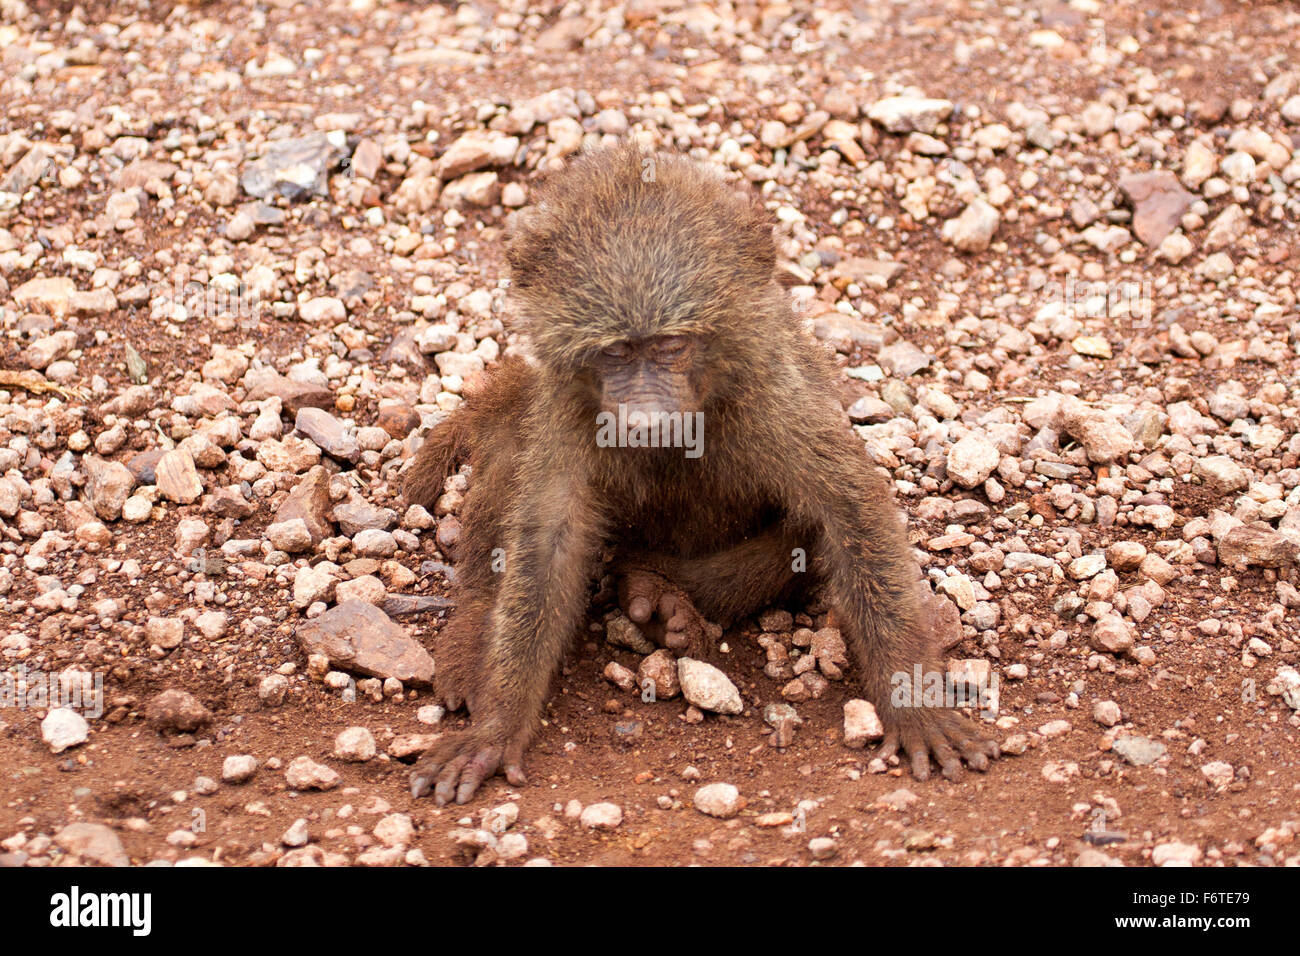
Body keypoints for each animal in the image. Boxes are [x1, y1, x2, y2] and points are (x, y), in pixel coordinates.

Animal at [403, 143, 999, 805]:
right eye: (615, 353)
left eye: (670, 346)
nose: (645, 419)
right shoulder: (566, 409)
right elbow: (550, 540)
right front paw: (498, 725)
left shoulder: (770, 393)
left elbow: (849, 506)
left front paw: (912, 706)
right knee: (512, 444)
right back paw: (479, 621)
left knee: (800, 535)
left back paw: (659, 589)